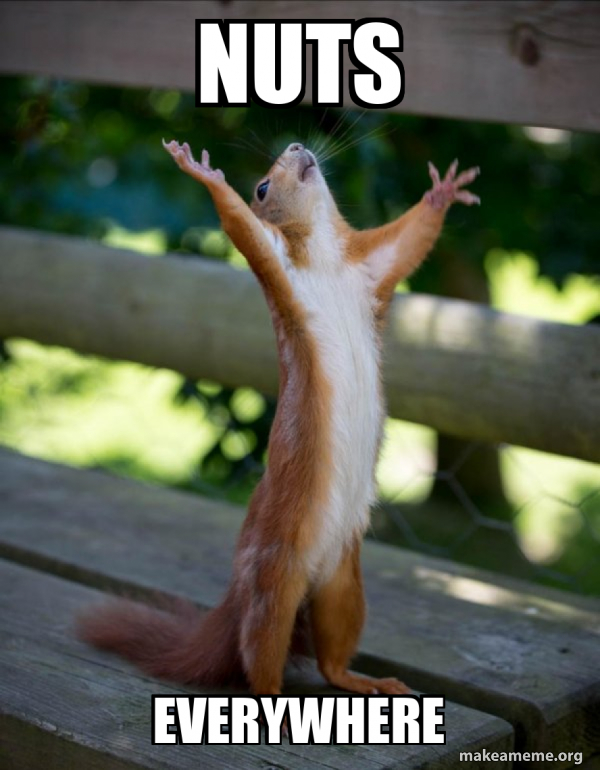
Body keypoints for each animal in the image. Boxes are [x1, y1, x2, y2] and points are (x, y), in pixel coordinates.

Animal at [78, 138, 480, 697]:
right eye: (263, 187)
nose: (296, 146)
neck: (327, 259)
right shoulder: (277, 264)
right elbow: (240, 226)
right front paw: (204, 173)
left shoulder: (372, 267)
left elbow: (410, 239)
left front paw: (442, 193)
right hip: (273, 584)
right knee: (260, 660)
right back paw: (277, 698)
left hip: (344, 586)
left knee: (331, 656)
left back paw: (365, 681)